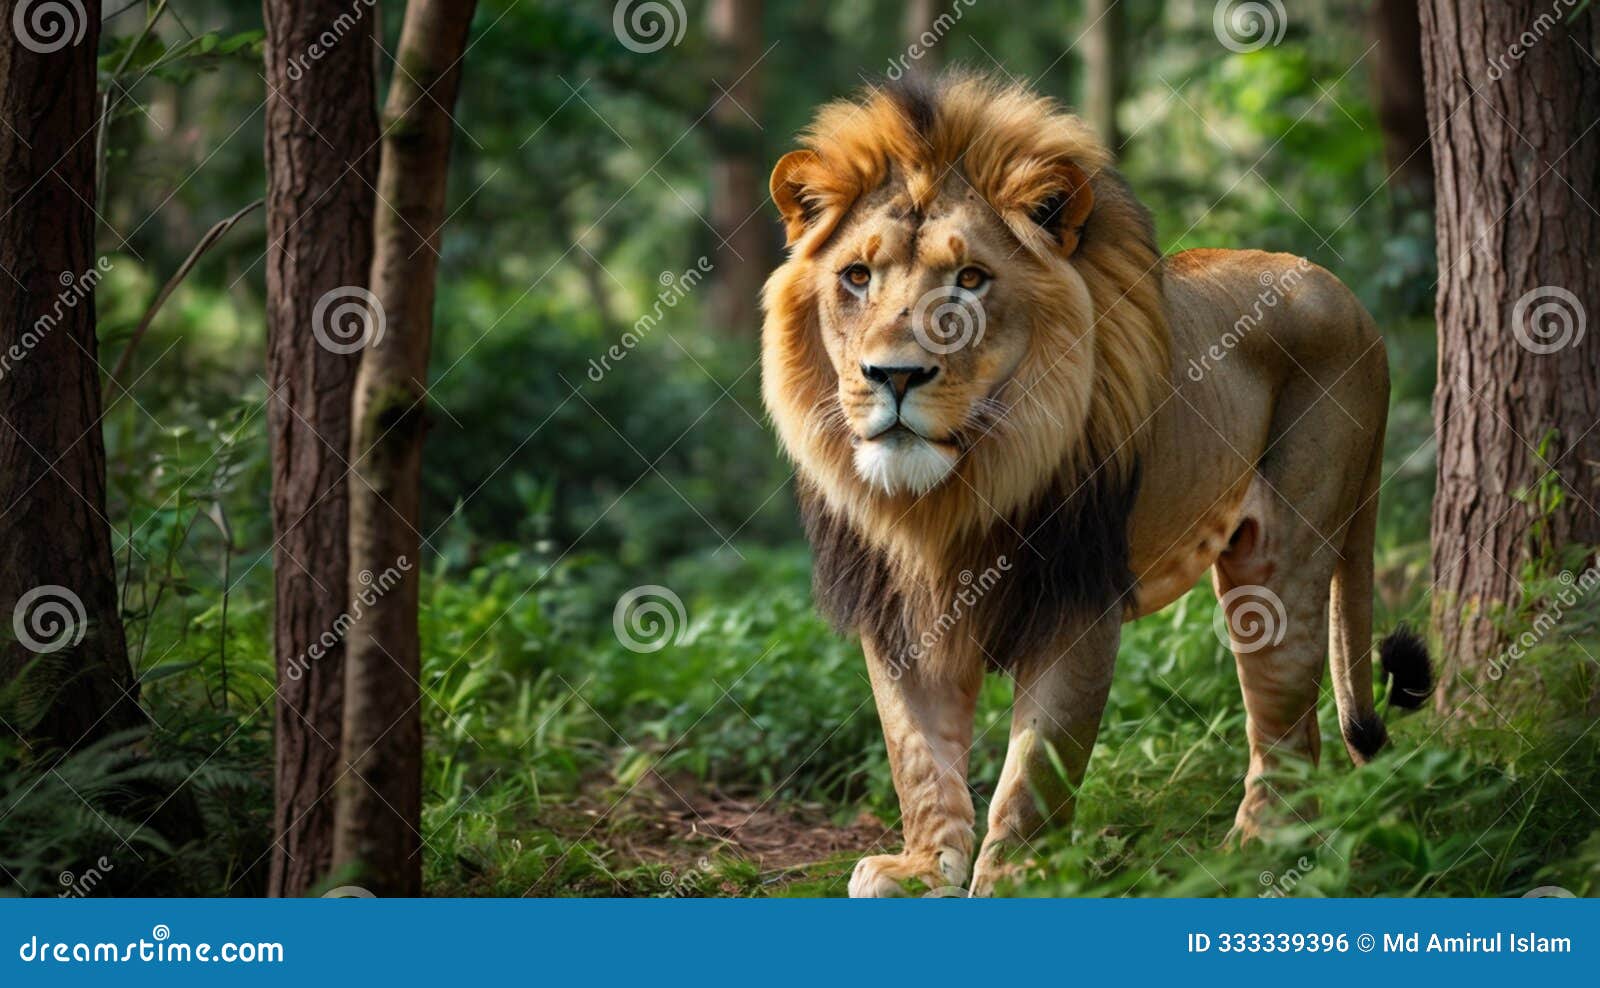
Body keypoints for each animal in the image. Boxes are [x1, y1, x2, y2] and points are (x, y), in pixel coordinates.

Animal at [759, 72, 1433, 897]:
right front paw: (922, 868)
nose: (895, 375)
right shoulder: (892, 610)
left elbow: (1037, 767)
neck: (945, 501)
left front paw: (1018, 878)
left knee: (1286, 720)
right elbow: (916, 754)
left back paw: (1250, 858)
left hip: (1280, 556)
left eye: (971, 281)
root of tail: (1352, 301)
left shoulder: (1076, 602)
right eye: (856, 277)